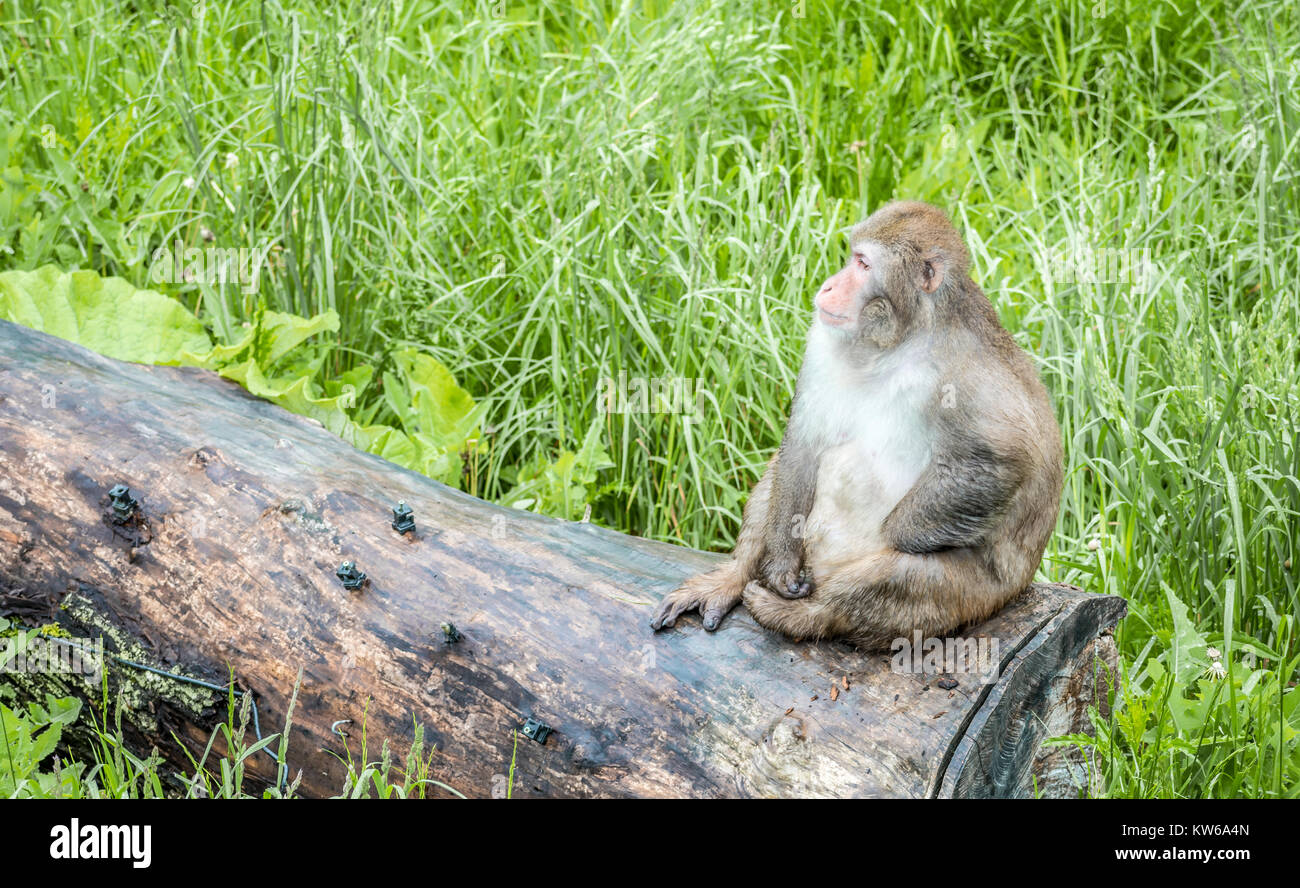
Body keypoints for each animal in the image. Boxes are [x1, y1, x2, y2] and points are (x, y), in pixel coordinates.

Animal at [650, 200, 1063, 650]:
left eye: (863, 264)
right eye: (852, 258)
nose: (828, 286)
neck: (898, 339)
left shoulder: (965, 365)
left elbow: (1005, 458)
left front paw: (894, 535)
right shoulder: (824, 337)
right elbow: (804, 440)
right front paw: (778, 563)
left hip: (985, 595)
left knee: (909, 576)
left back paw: (804, 616)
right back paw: (737, 575)